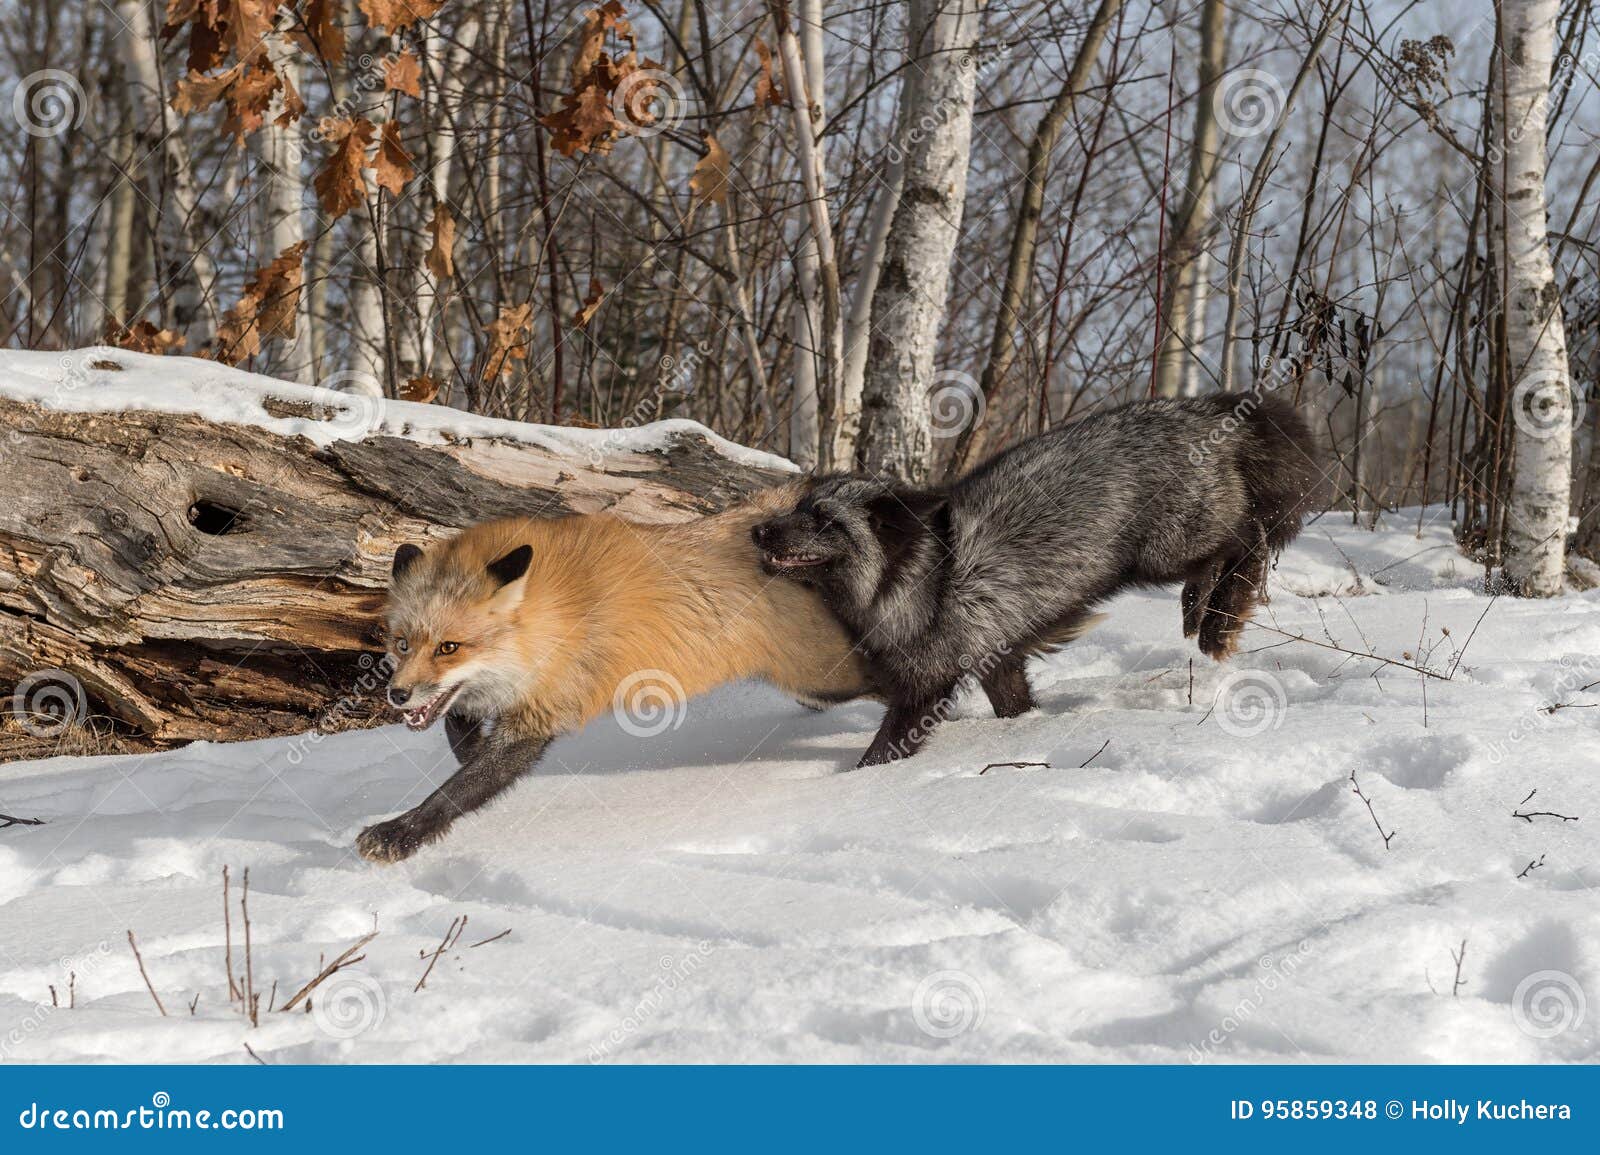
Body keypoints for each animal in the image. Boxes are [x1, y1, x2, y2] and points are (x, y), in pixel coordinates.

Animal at [359, 485, 876, 863]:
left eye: (449, 648)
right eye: (402, 643)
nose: (397, 696)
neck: (551, 618)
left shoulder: (542, 711)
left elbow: (457, 791)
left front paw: (400, 831)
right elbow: (455, 726)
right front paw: (466, 748)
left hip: (827, 678)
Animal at [751, 392, 1320, 767]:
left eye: (823, 521)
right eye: (799, 508)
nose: (758, 531)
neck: (920, 581)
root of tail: (1205, 408)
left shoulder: (925, 686)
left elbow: (882, 751)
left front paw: (862, 782)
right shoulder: (997, 658)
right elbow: (1016, 707)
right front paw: (1029, 734)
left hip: (1164, 551)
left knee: (1248, 538)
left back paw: (1215, 619)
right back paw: (1205, 611)